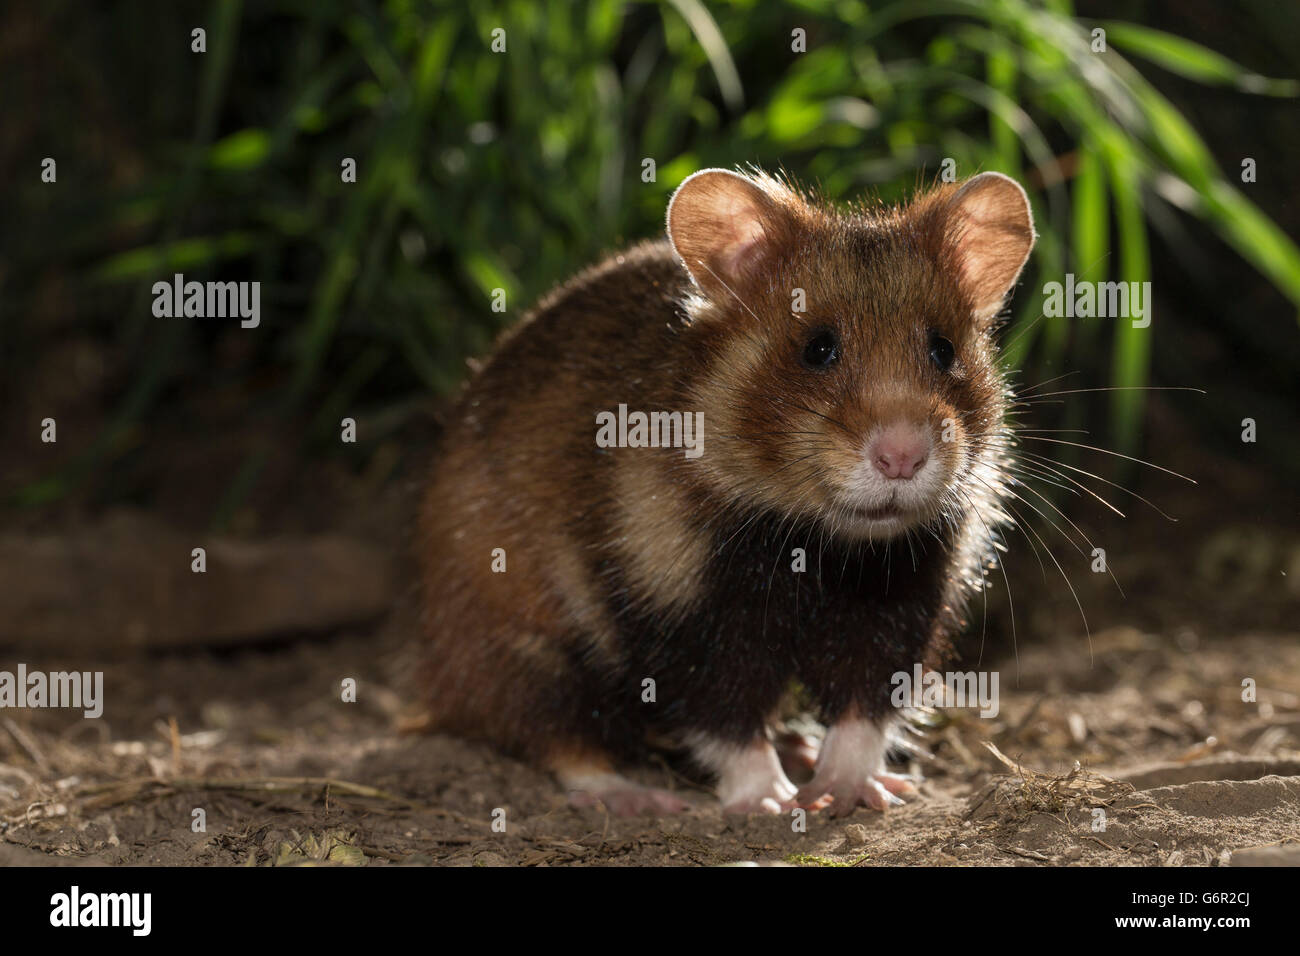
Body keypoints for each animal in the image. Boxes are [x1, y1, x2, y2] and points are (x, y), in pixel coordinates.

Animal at [416, 167, 1034, 816]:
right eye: (817, 348)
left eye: (944, 348)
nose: (903, 456)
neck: (816, 542)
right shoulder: (672, 600)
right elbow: (723, 714)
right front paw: (772, 802)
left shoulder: (904, 592)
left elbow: (863, 708)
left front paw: (848, 790)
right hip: (526, 650)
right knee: (555, 734)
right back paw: (636, 797)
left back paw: (800, 751)